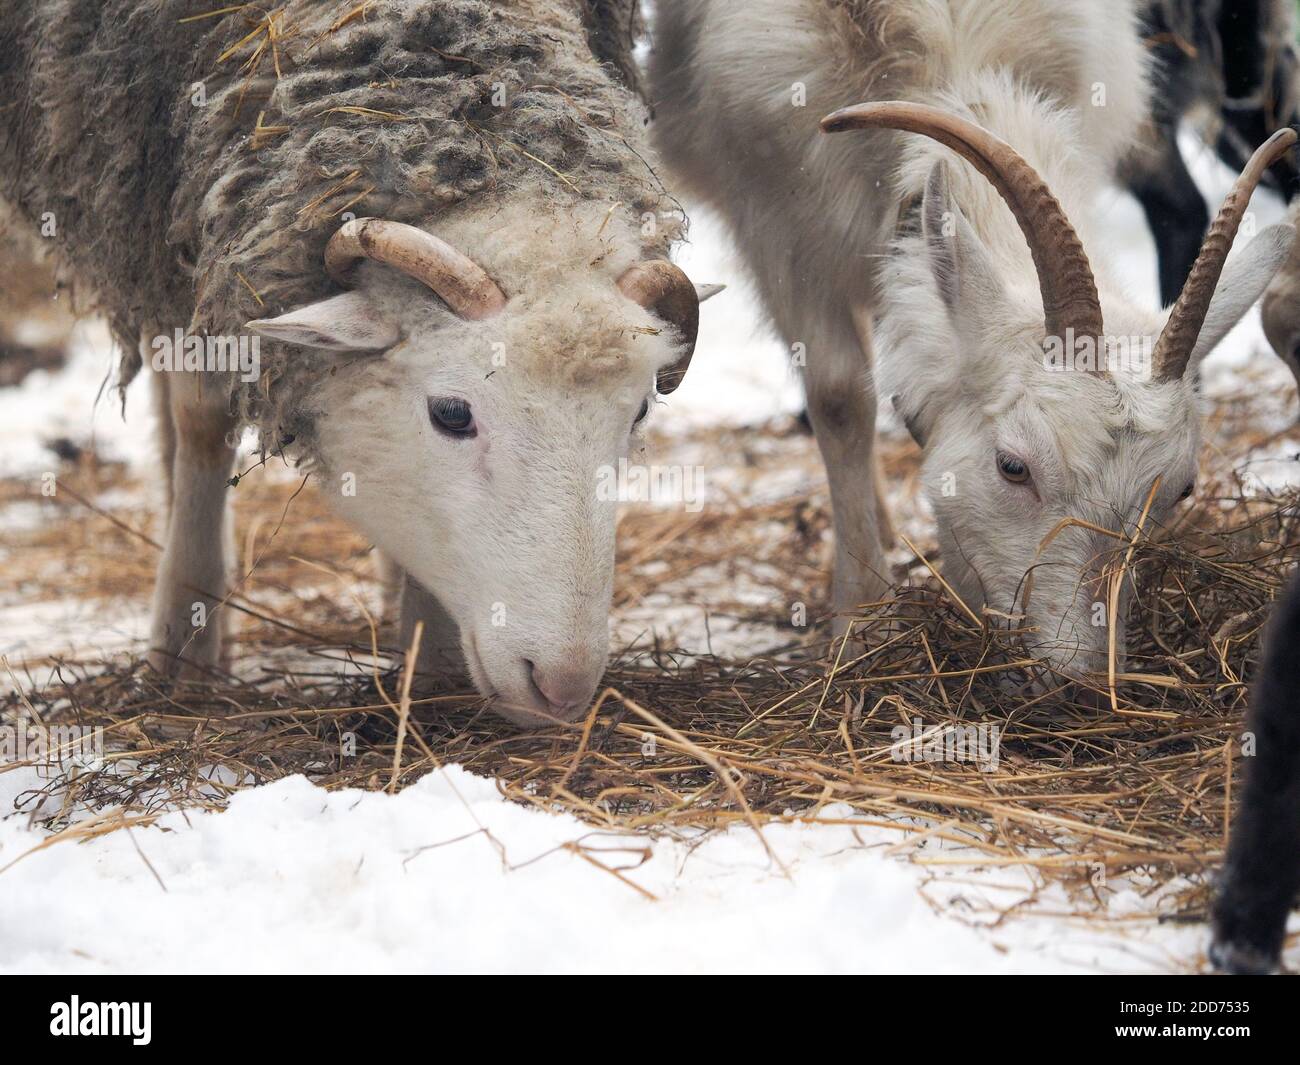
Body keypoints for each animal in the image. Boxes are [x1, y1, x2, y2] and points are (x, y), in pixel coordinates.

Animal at [0, 0, 714, 727]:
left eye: (638, 413)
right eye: (451, 413)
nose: (563, 686)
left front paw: (430, 658)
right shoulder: (162, 213)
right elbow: (203, 418)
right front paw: (183, 655)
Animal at [649, 0, 1295, 684]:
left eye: (1181, 491)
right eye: (1012, 467)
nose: (1079, 679)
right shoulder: (775, 217)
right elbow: (839, 398)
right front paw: (859, 626)